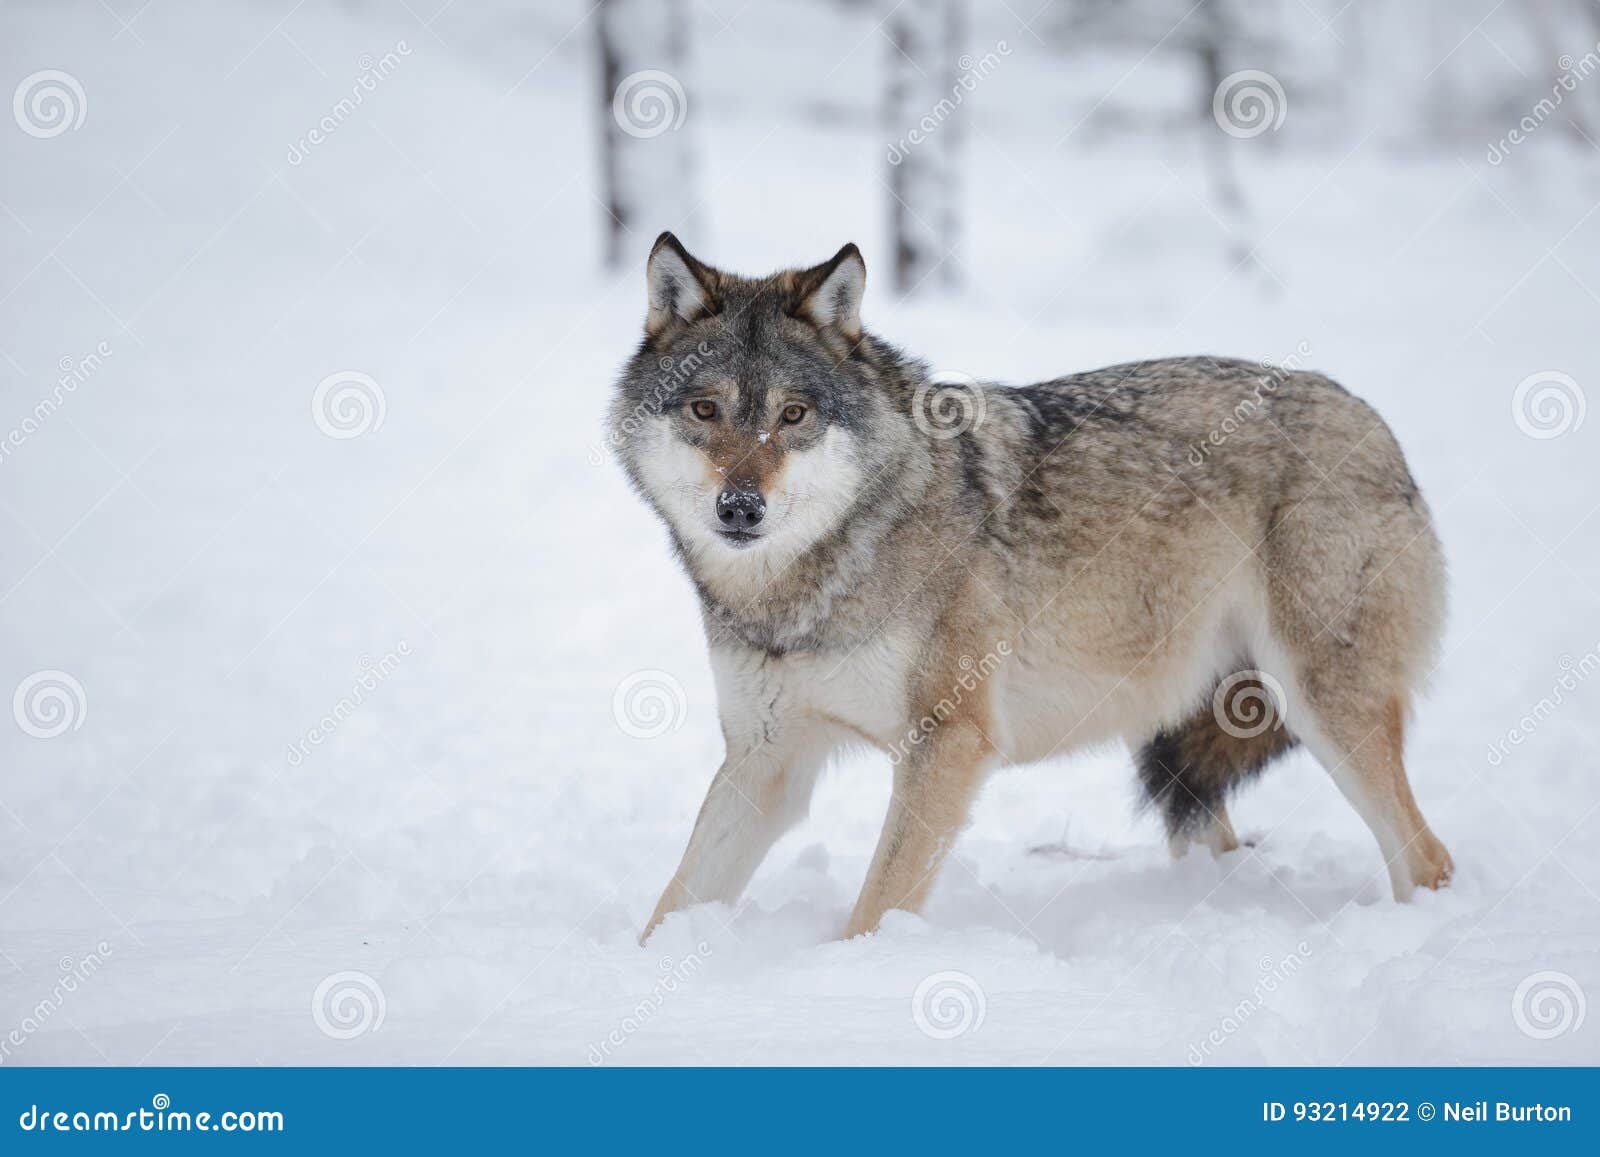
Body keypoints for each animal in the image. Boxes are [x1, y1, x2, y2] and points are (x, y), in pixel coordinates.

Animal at [612, 233, 1453, 944]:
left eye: (793, 415)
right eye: (705, 409)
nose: (740, 507)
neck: (804, 585)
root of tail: (1374, 421)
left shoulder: (947, 742)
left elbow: (876, 908)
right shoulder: (765, 759)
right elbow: (674, 901)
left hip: (1322, 710)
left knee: (1428, 858)